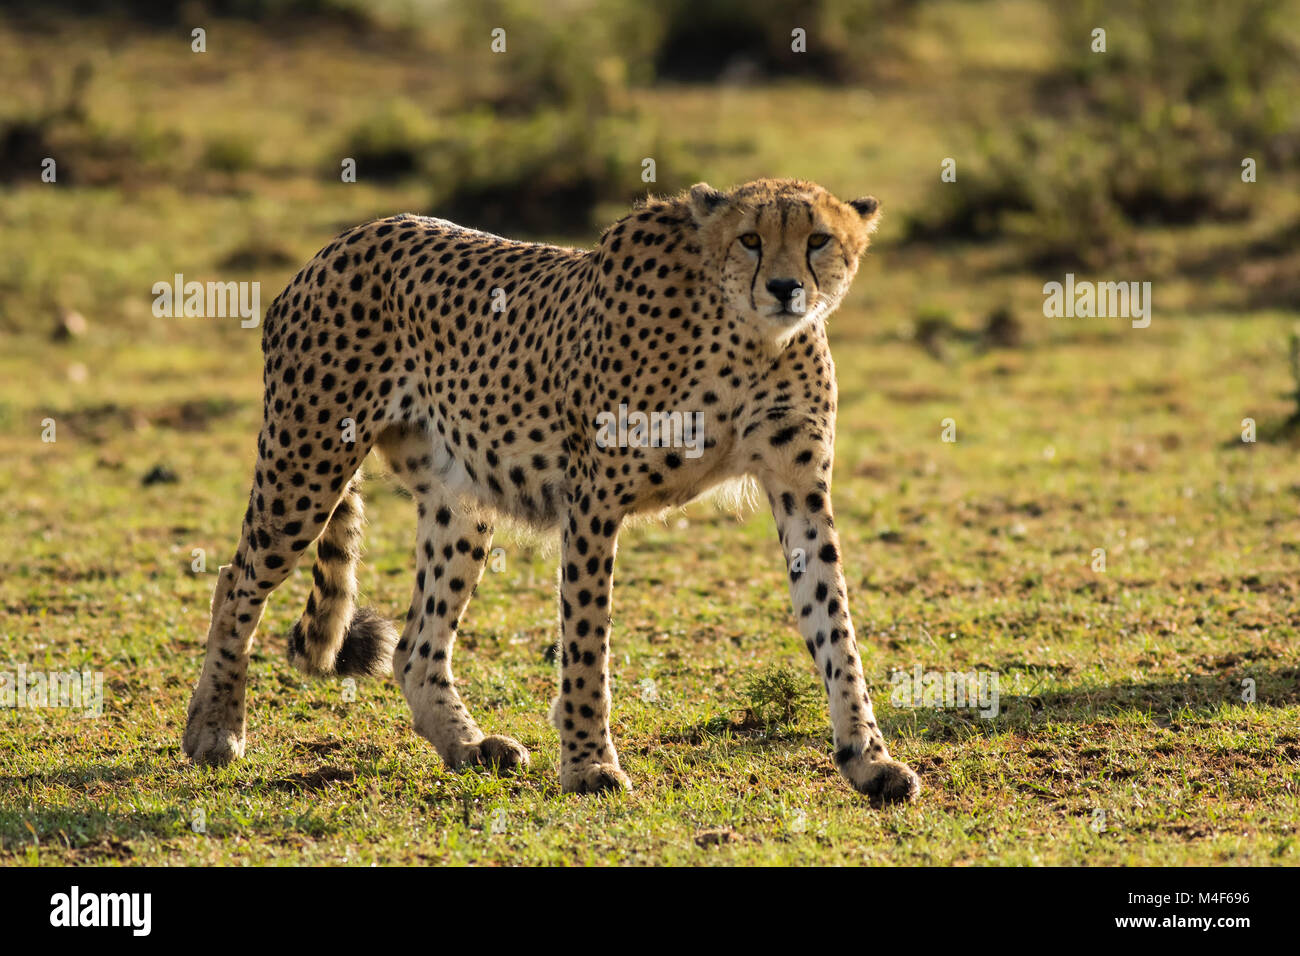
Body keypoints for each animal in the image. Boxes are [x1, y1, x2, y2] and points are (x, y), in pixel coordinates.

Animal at [182, 177, 921, 805]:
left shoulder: (801, 493)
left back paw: (471, 747)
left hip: (462, 500)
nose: (785, 287)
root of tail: (343, 241)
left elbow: (835, 626)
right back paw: (214, 730)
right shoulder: (593, 499)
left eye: (817, 239)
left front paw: (868, 759)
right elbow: (587, 640)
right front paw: (591, 763)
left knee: (417, 645)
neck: (749, 338)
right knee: (235, 580)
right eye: (750, 239)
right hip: (307, 462)